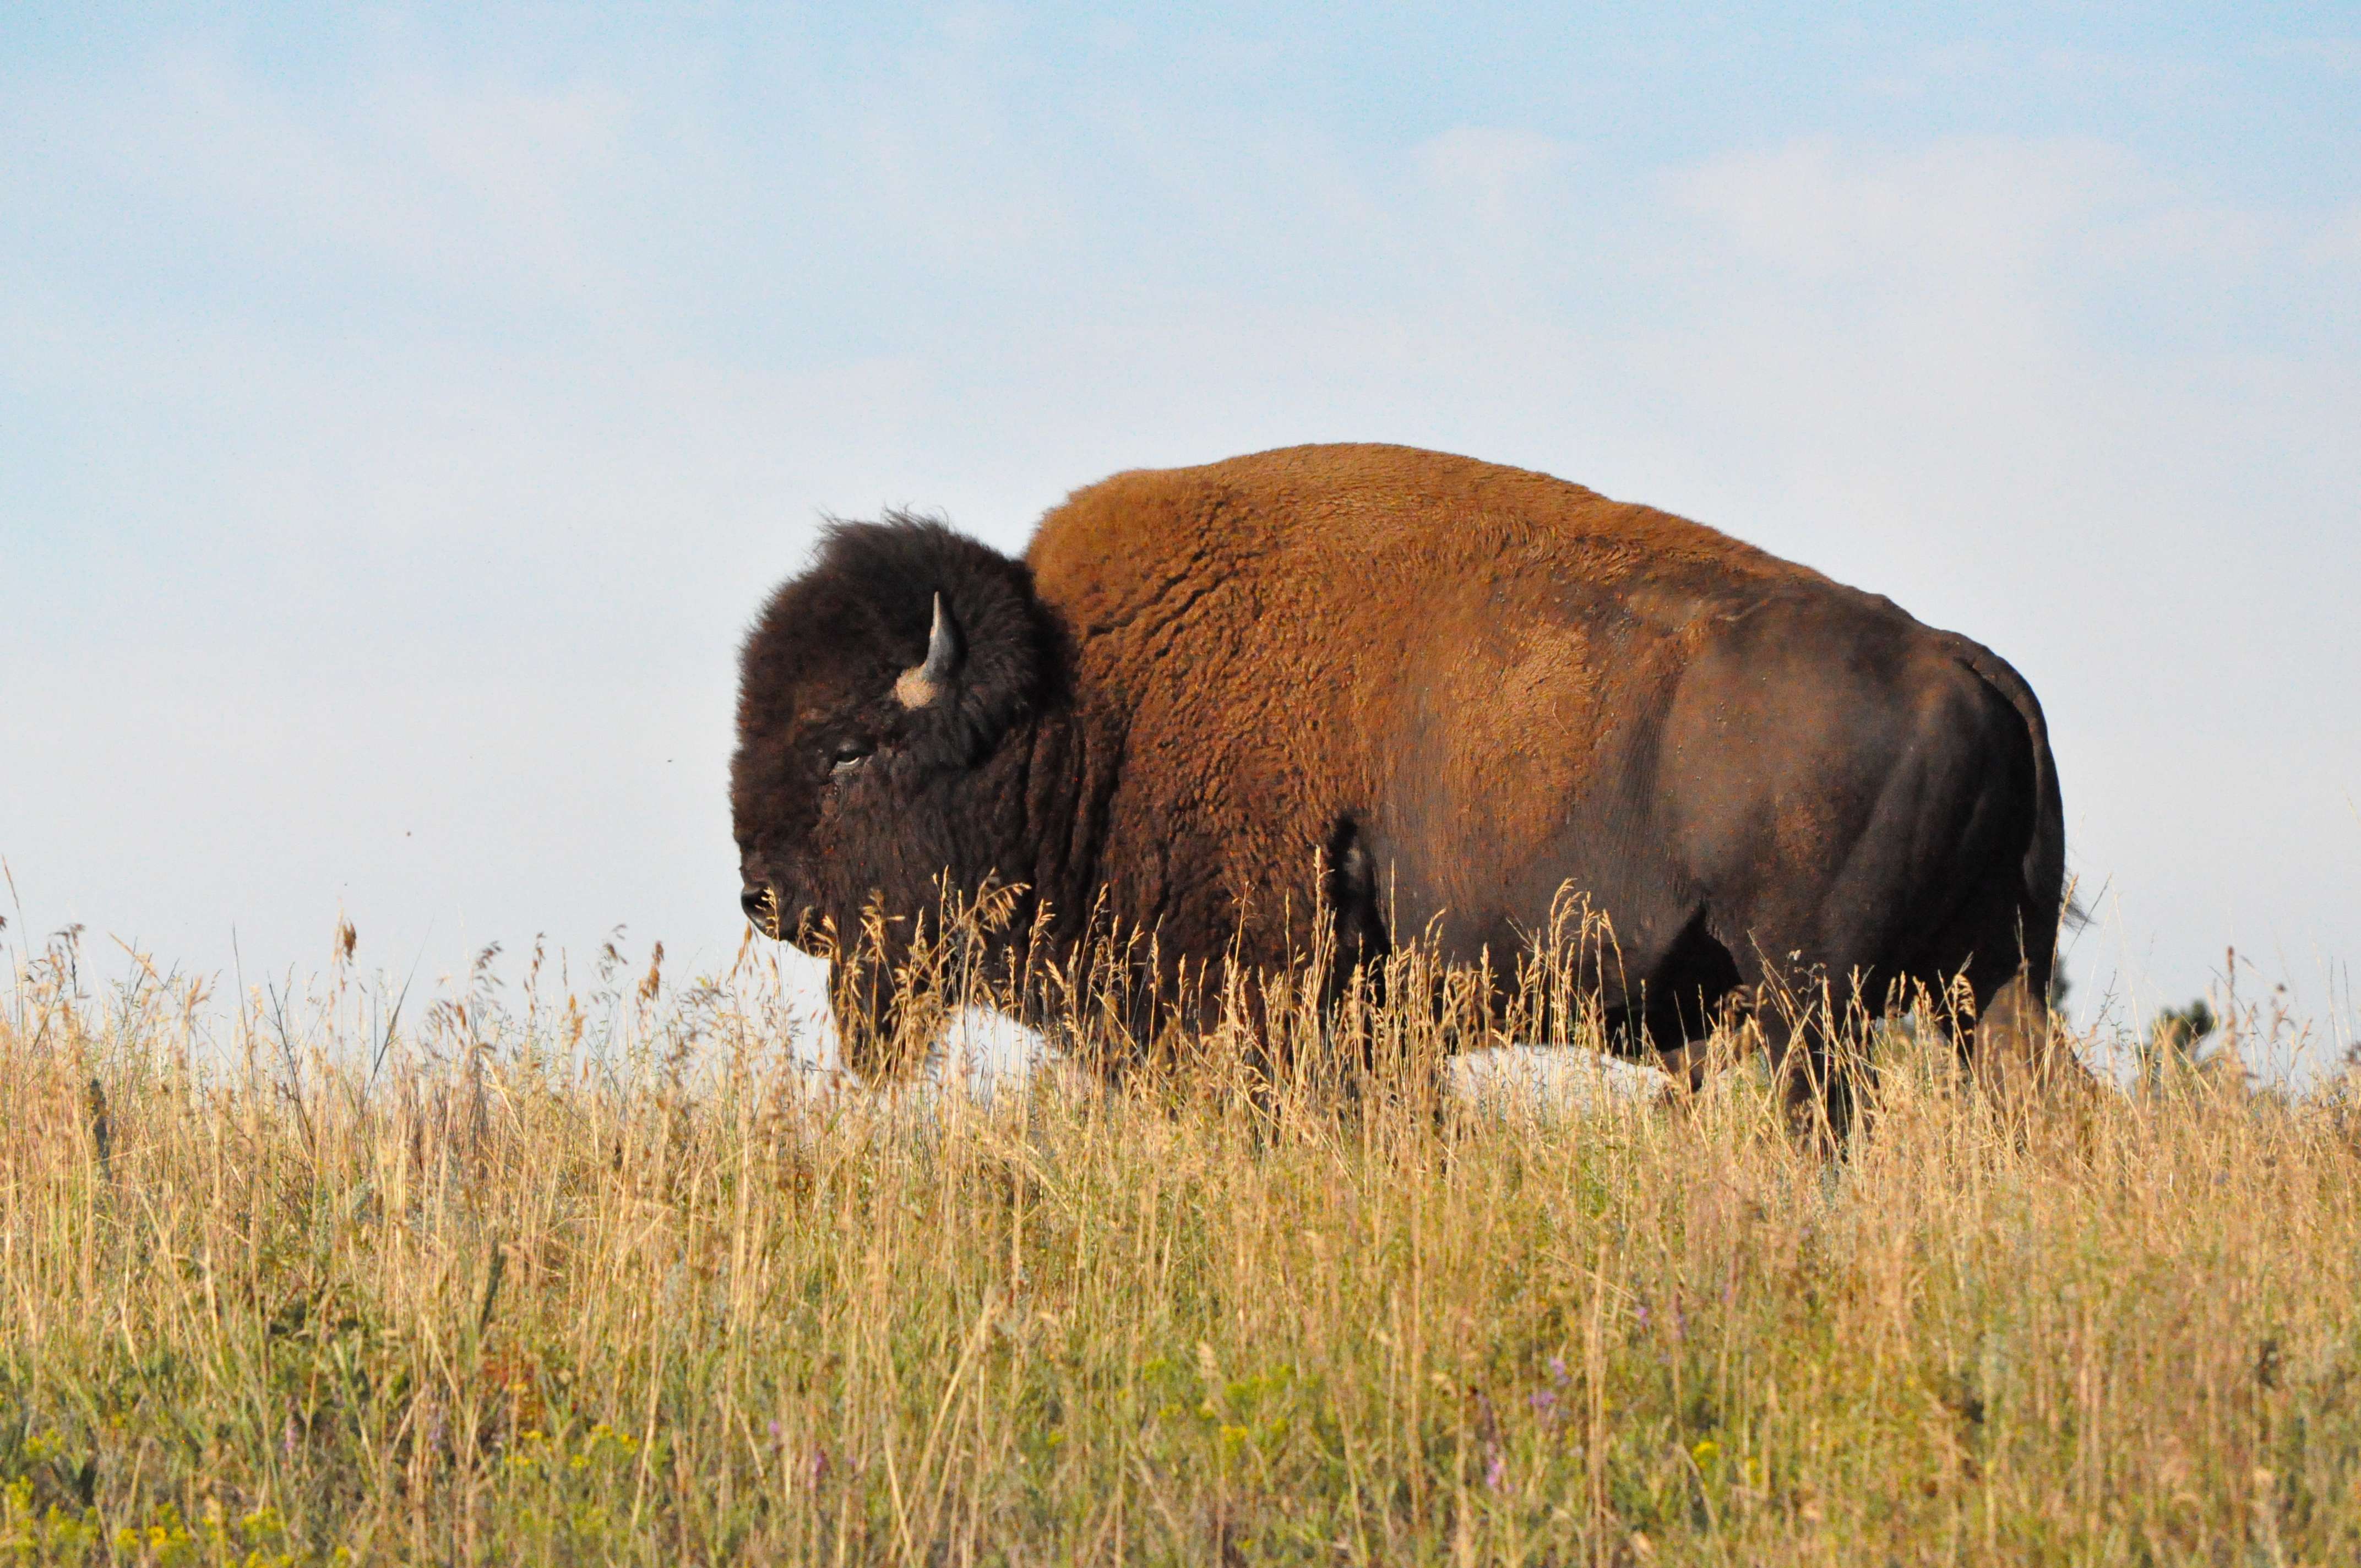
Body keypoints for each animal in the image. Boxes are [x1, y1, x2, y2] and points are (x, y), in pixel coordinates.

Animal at [732, 444, 2065, 1125]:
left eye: (845, 749)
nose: (762, 893)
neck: (1077, 710)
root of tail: (1970, 665)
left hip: (1812, 1004)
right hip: (1986, 983)